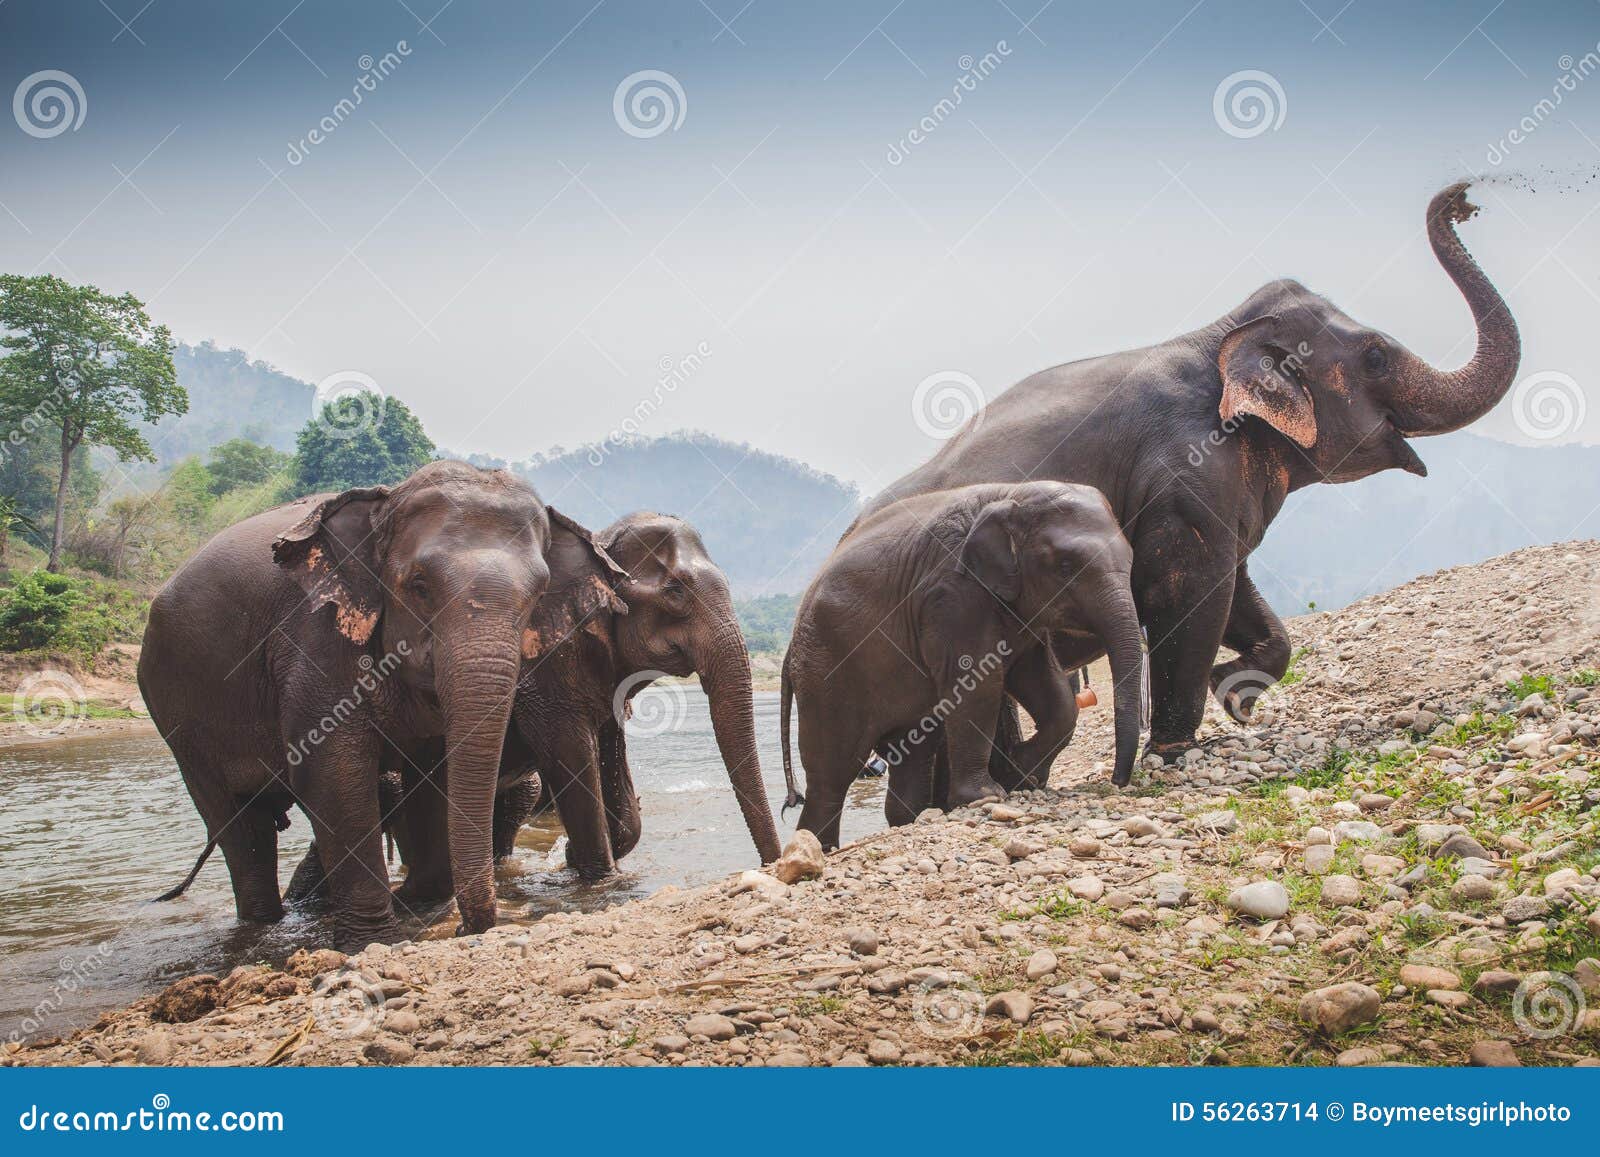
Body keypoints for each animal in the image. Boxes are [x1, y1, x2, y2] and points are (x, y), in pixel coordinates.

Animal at [141, 460, 554, 947]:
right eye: (419, 586)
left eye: (540, 594)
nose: (469, 929)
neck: (384, 503)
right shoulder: (314, 636)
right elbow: (332, 771)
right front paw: (376, 941)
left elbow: (434, 774)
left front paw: (421, 906)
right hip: (177, 713)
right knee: (239, 827)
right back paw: (262, 925)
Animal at [780, 481, 1145, 849]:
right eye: (1066, 565)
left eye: (1131, 559)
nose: (1118, 780)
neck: (1013, 494)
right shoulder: (953, 596)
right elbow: (977, 684)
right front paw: (988, 796)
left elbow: (1044, 682)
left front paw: (1020, 774)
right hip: (825, 674)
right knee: (832, 776)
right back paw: (819, 845)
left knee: (911, 752)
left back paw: (911, 818)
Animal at [854, 182, 1518, 760]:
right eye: (1376, 354)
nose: (1462, 200)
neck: (1220, 335)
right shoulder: (1185, 471)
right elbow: (1191, 592)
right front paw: (1177, 745)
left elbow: (1239, 589)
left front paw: (1236, 694)